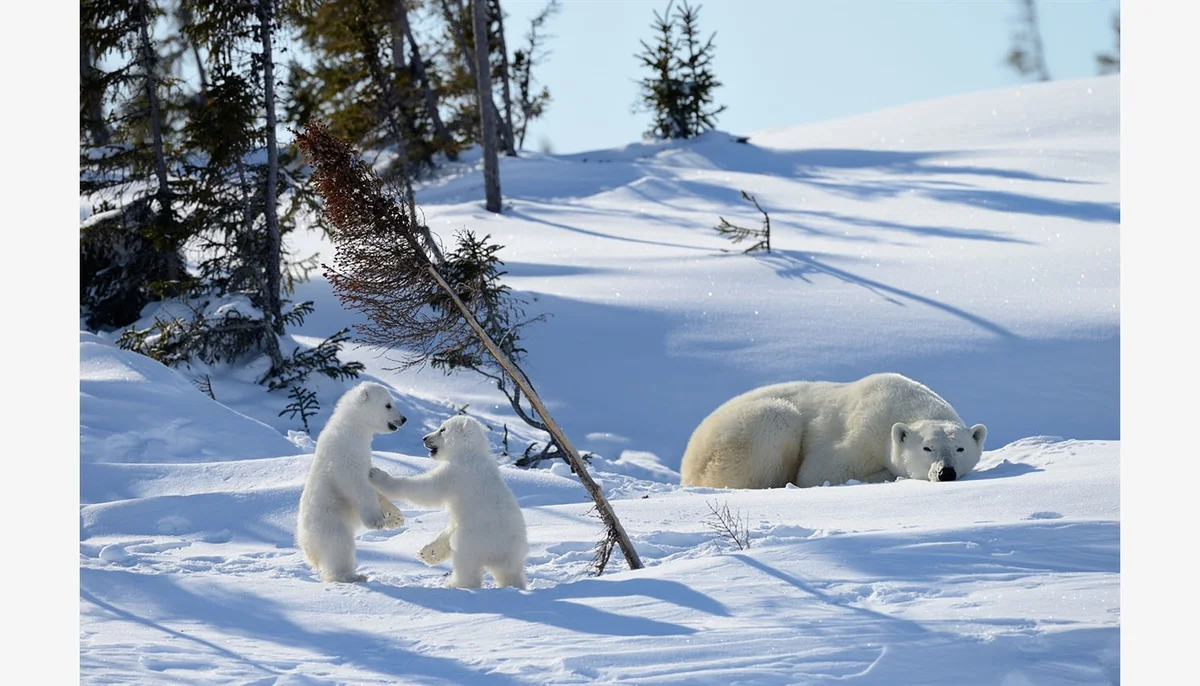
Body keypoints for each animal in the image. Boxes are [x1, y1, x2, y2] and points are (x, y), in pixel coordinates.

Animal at [297, 383, 410, 580]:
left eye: (393, 402)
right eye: (388, 405)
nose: (403, 419)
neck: (351, 429)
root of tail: (307, 548)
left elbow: (374, 485)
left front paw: (395, 518)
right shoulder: (345, 454)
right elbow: (357, 485)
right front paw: (377, 520)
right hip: (329, 521)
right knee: (340, 545)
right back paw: (351, 576)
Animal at [367, 412, 528, 590]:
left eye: (442, 429)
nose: (424, 438)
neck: (469, 453)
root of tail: (502, 552)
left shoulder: (455, 473)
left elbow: (427, 490)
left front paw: (377, 475)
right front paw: (426, 553)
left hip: (475, 538)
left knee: (465, 561)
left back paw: (454, 584)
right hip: (510, 555)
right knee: (508, 573)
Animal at [681, 371, 988, 489]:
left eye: (960, 447)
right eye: (927, 447)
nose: (945, 472)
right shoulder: (860, 432)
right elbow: (818, 472)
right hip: (739, 438)